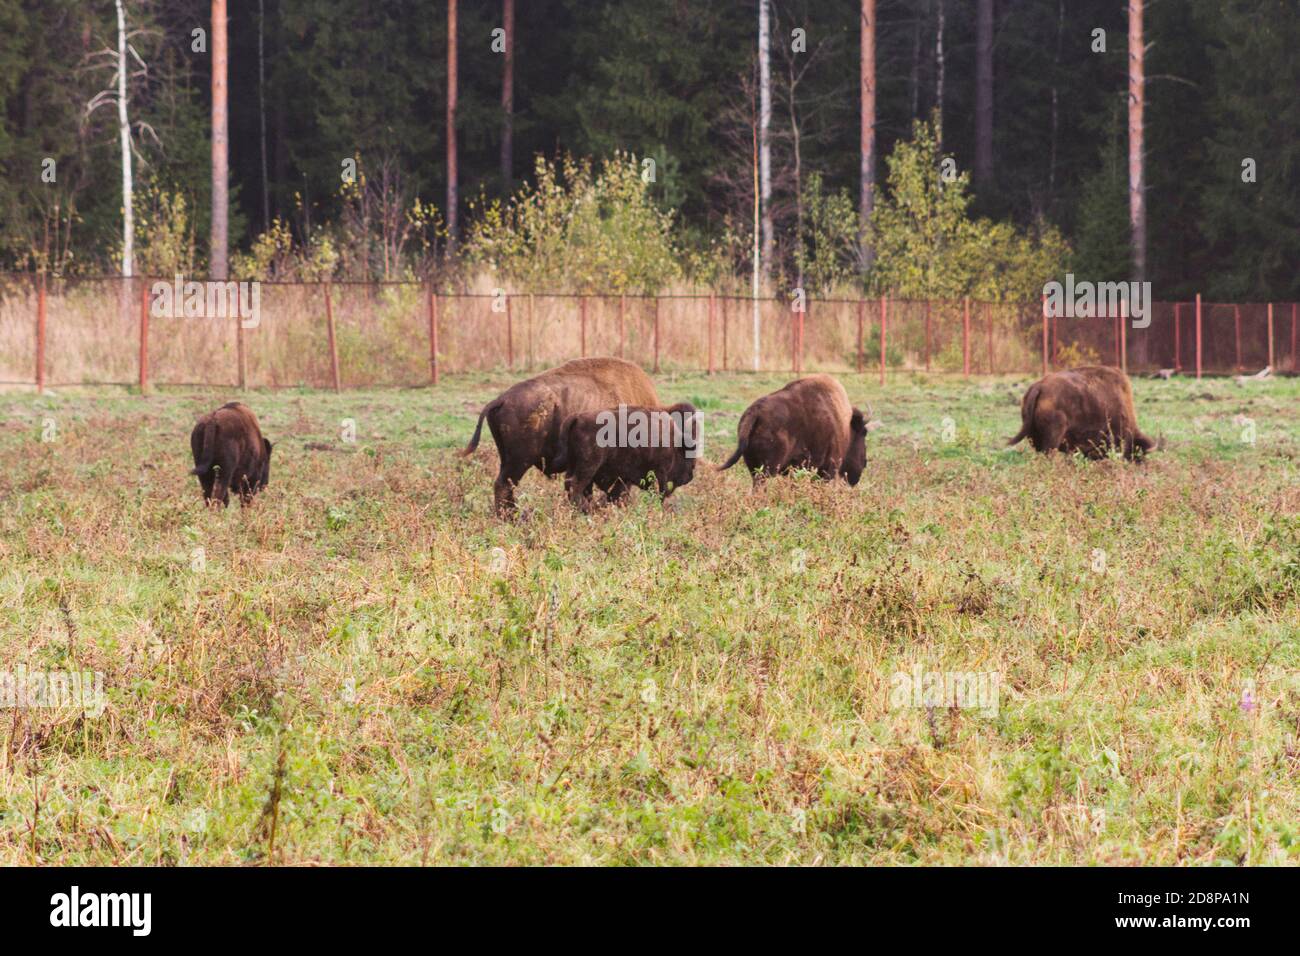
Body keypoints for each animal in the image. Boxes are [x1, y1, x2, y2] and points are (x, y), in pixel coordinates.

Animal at [719, 375, 868, 487]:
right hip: (768, 470)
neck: (846, 426)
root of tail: (755, 412)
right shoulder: (828, 468)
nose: (864, 463)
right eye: (863, 433)